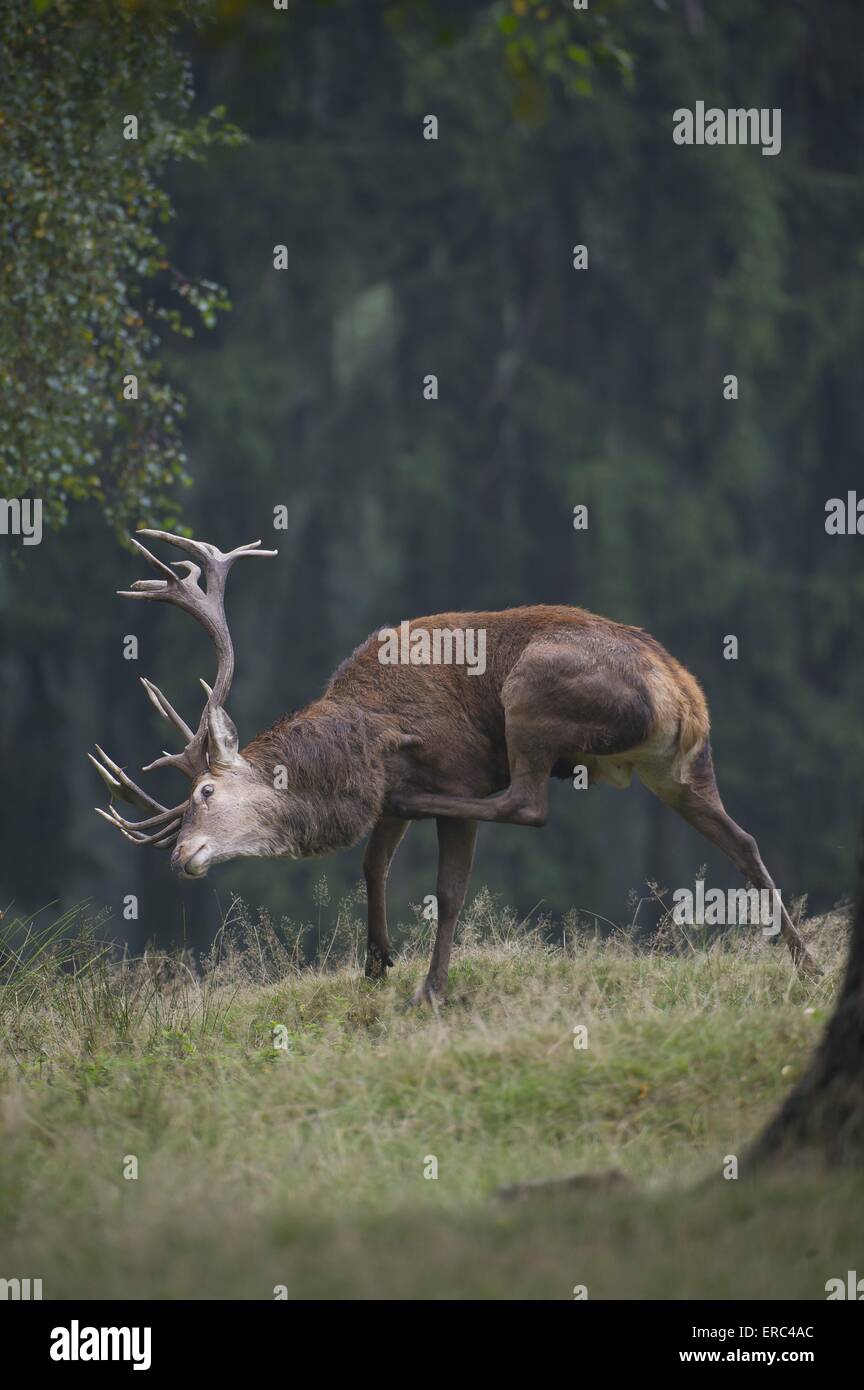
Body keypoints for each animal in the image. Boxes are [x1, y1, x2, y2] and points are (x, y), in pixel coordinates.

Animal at [90, 529, 816, 1004]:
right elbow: (371, 863)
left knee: (527, 802)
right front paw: (377, 963)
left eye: (206, 792)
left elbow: (447, 890)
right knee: (743, 840)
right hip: (680, 766)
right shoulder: (375, 801)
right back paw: (805, 964)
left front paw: (430, 988)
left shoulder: (451, 768)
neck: (356, 756)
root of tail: (679, 693)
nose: (179, 855)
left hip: (532, 697)